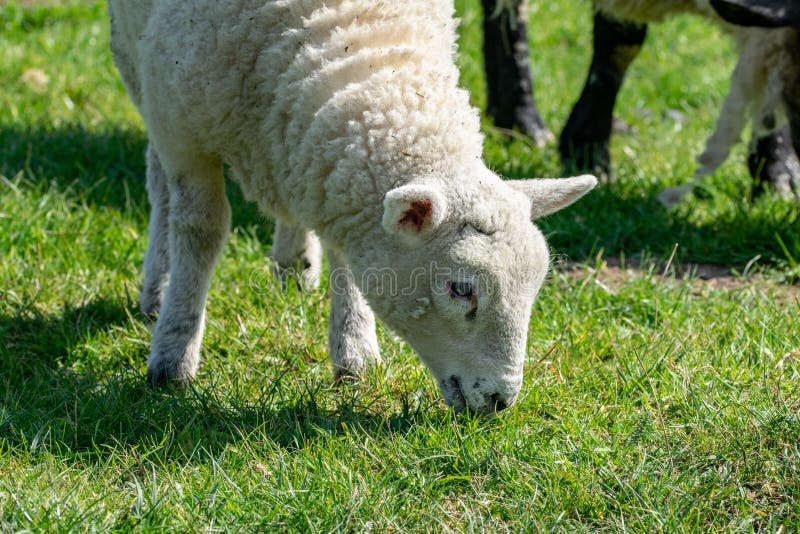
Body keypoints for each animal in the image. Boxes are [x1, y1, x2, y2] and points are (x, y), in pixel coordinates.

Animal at [108, 0, 597, 414]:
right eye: (460, 289)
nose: (500, 400)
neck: (350, 29)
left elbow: (342, 242)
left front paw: (355, 354)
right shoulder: (181, 131)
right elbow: (201, 232)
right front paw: (173, 357)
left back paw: (294, 262)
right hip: (136, 63)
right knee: (160, 183)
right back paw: (158, 288)